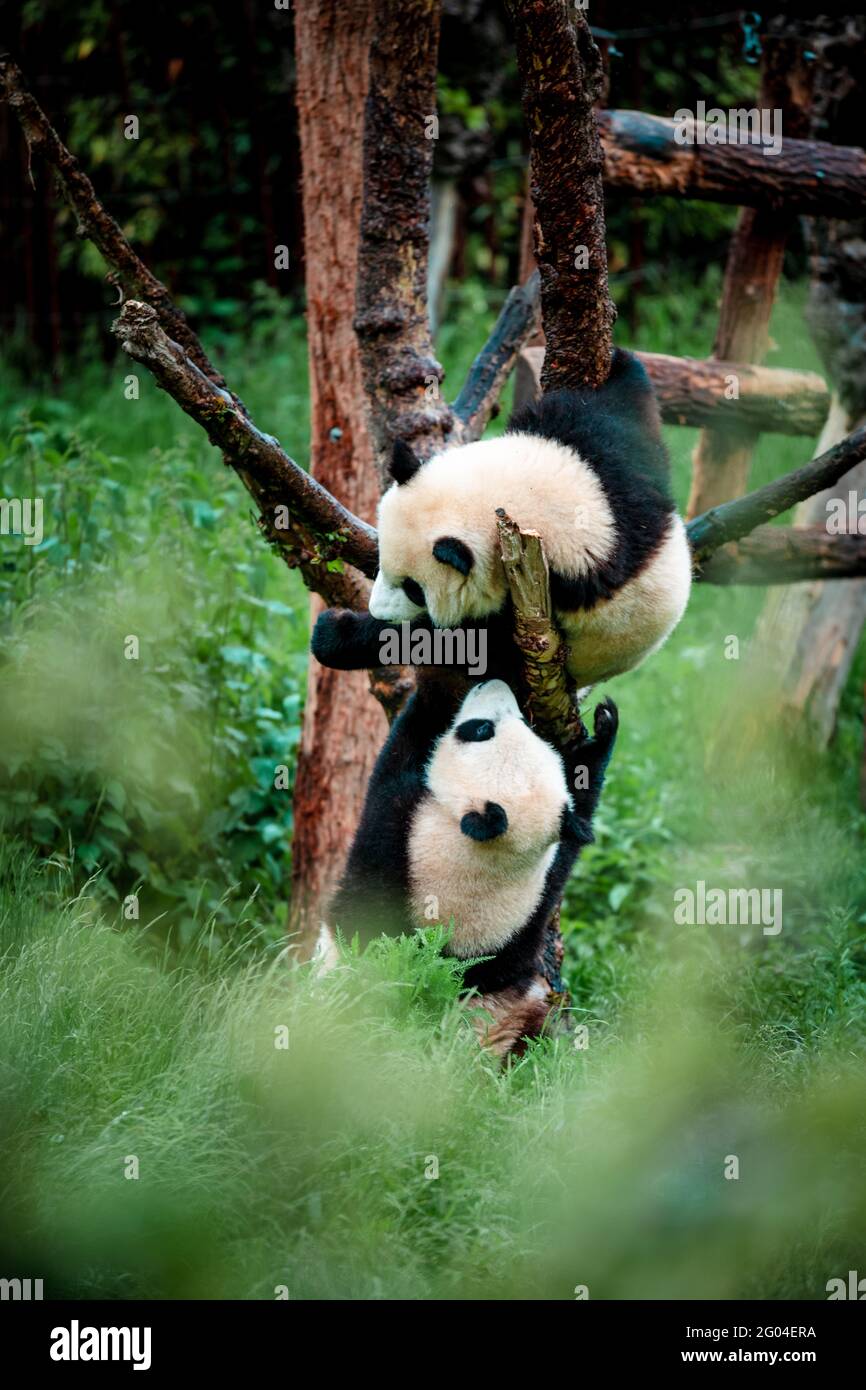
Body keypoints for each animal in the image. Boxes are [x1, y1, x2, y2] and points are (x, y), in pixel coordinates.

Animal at [318, 671, 618, 1054]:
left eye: (479, 729)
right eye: (523, 724)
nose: (491, 683)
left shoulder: (399, 840)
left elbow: (399, 755)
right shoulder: (532, 907)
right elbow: (575, 826)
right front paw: (605, 729)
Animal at [367, 348, 692, 688]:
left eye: (413, 589)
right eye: (380, 563)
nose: (378, 612)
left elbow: (466, 642)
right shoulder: (598, 460)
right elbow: (631, 423)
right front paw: (623, 364)